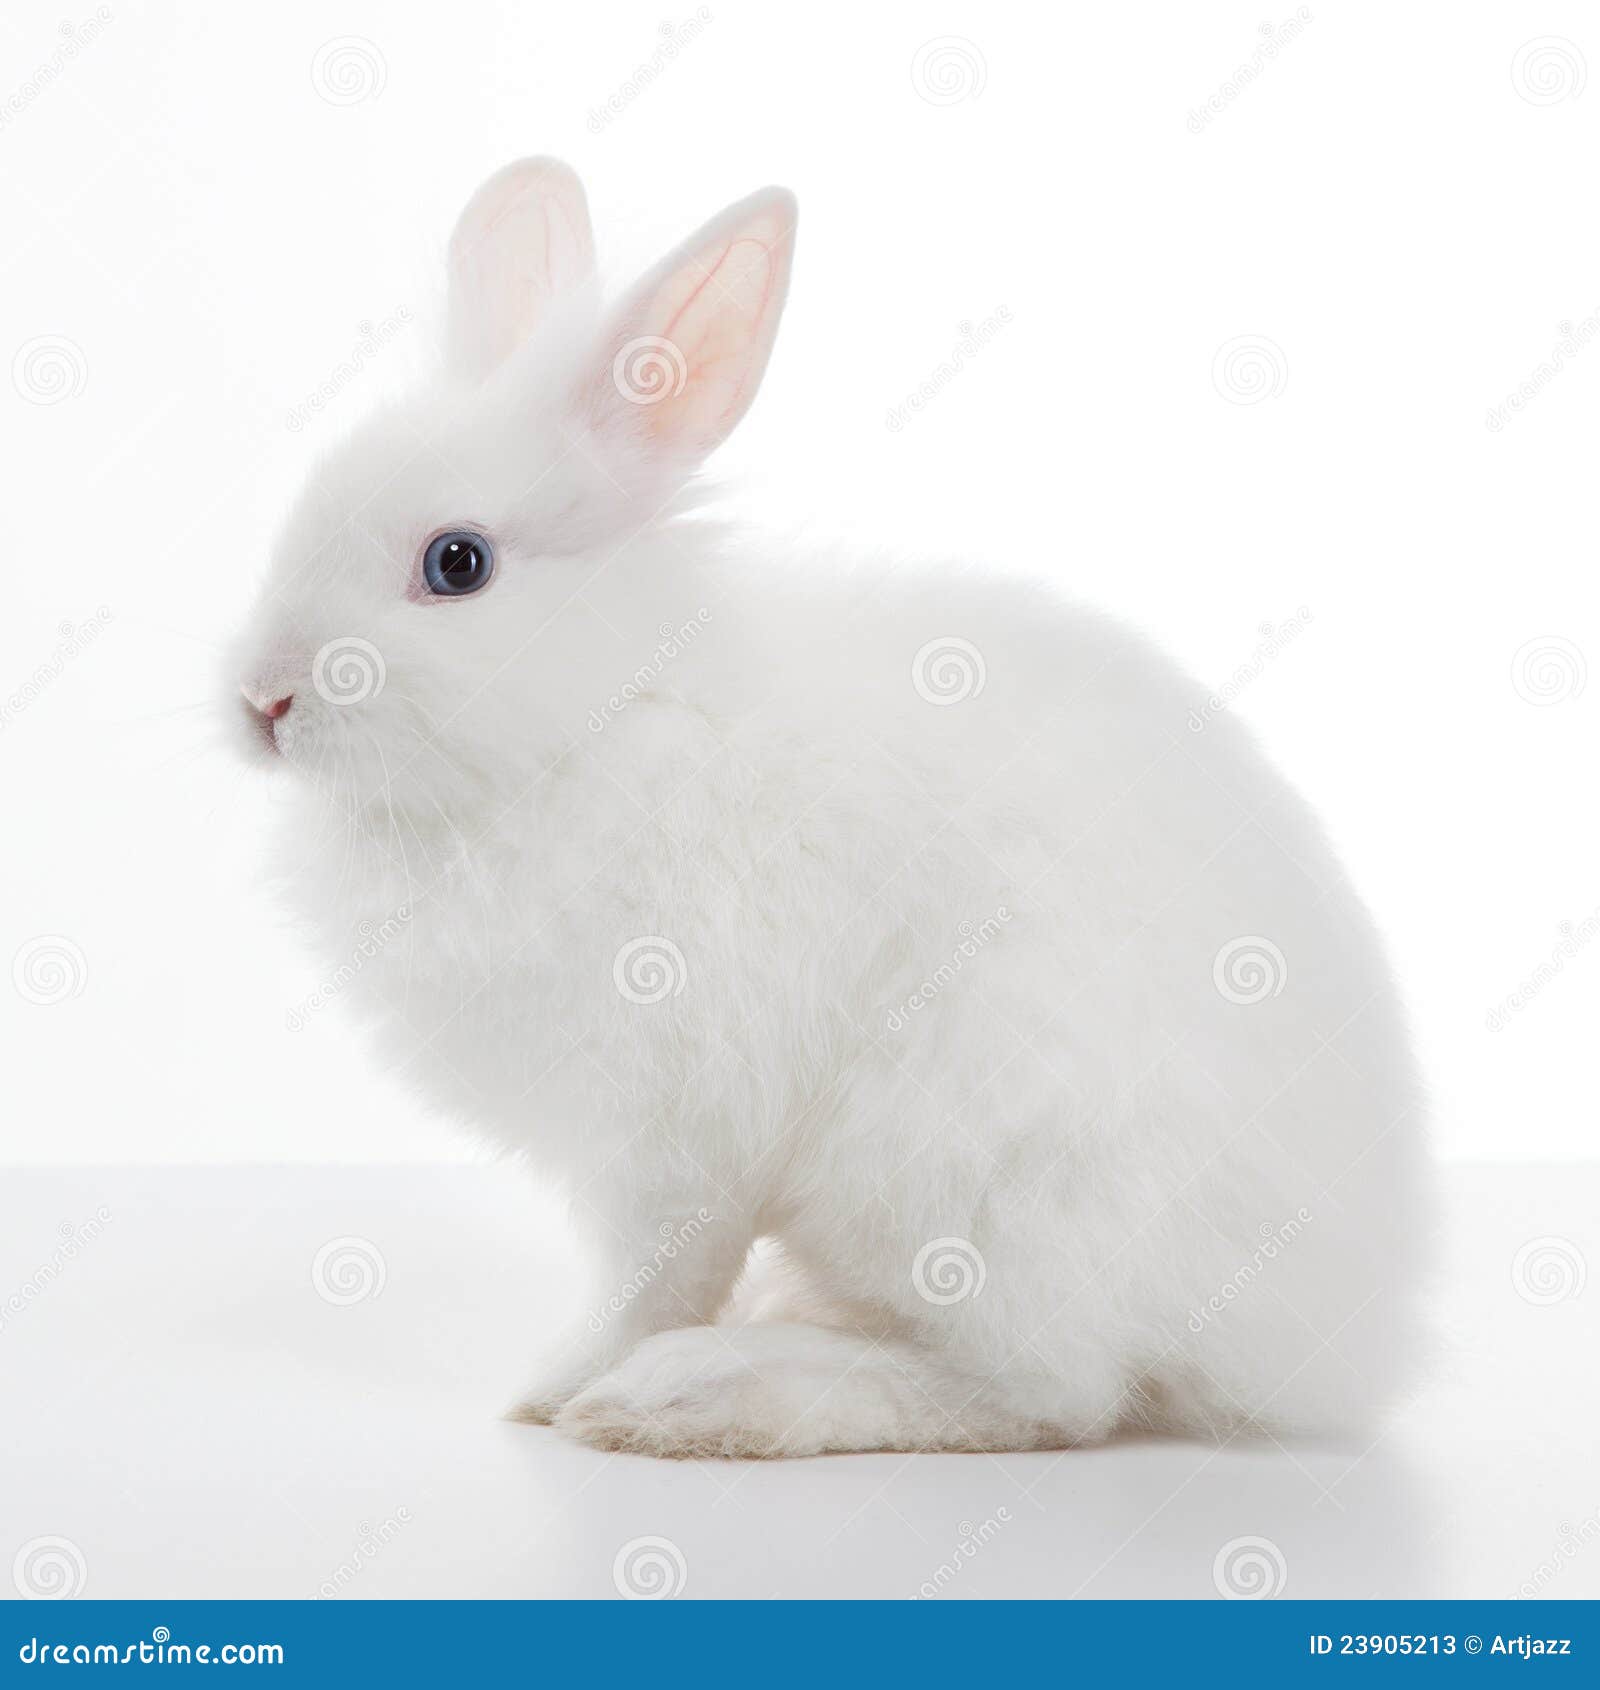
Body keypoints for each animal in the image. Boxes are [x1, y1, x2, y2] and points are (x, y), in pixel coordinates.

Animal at [234, 157, 1429, 1458]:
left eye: (457, 563)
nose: (262, 698)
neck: (604, 716)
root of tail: (1340, 1339)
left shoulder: (669, 1136)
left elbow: (651, 1277)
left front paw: (563, 1386)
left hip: (969, 1177)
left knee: (1043, 1395)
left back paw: (706, 1391)